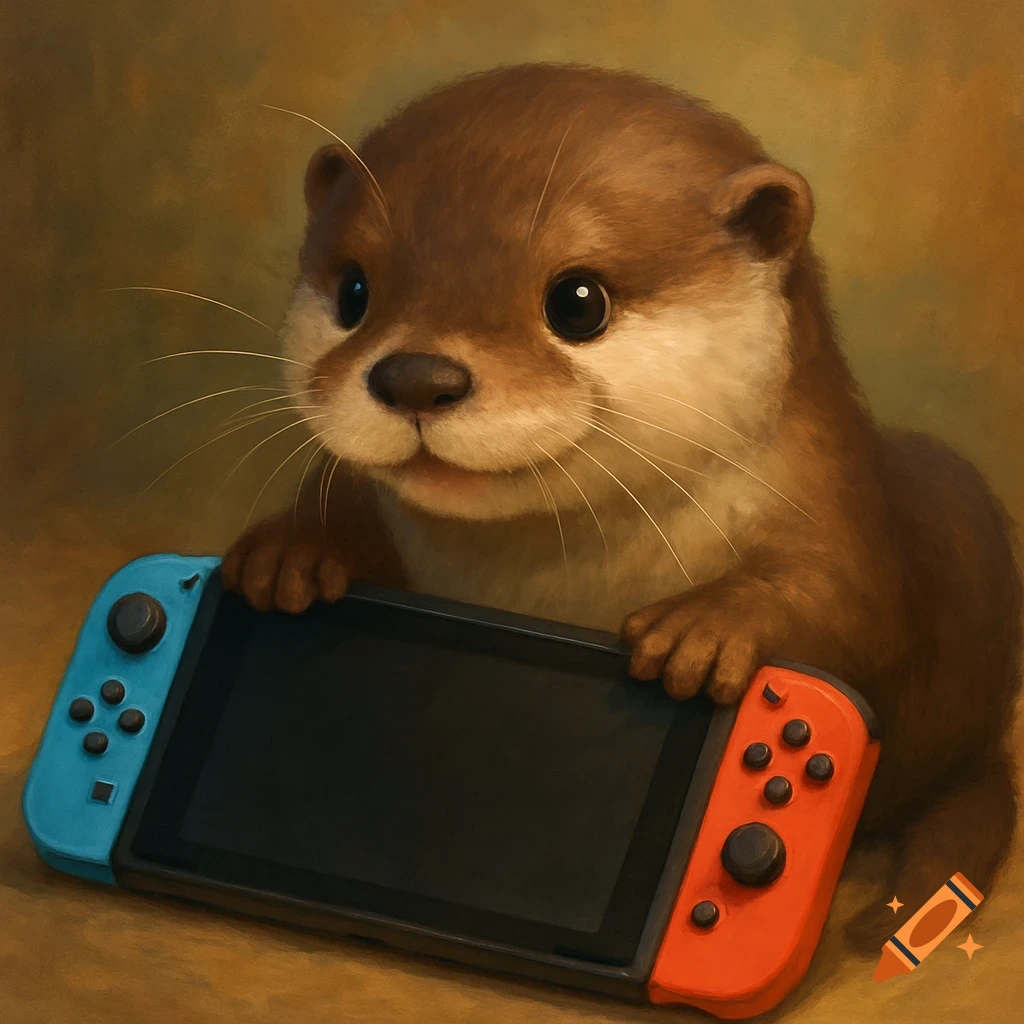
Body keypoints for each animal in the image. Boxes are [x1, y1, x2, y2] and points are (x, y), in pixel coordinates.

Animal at [221, 63, 1021, 952]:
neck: (548, 587)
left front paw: (708, 628)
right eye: (354, 291)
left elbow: (854, 596)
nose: (416, 377)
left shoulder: (837, 503)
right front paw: (292, 551)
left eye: (578, 302)